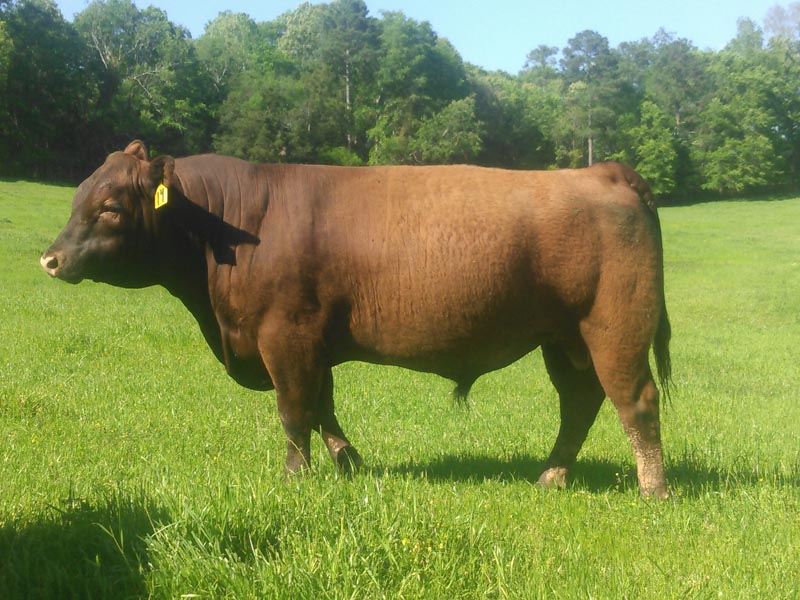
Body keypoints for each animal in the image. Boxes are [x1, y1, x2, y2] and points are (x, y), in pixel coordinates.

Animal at [40, 141, 672, 498]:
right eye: (77, 196)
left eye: (110, 206)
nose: (51, 259)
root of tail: (601, 171)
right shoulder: (311, 343)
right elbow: (323, 405)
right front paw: (348, 461)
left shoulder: (285, 336)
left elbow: (294, 411)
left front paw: (295, 480)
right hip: (564, 339)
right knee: (580, 402)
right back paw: (551, 477)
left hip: (613, 327)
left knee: (634, 400)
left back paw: (653, 490)